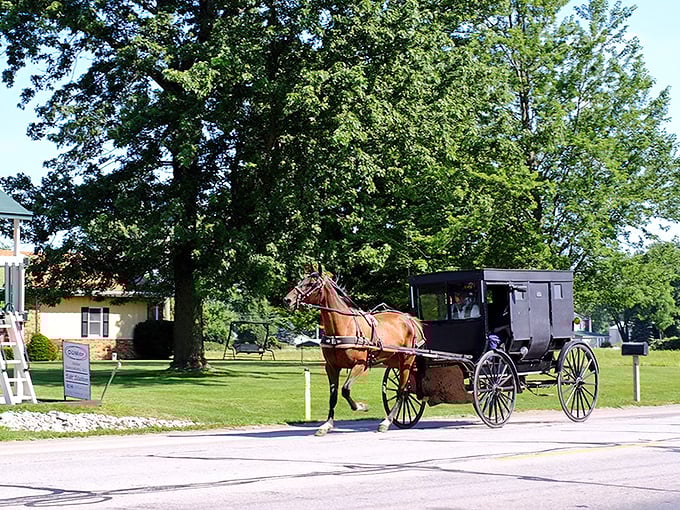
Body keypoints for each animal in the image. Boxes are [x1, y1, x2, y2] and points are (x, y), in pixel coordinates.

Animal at [283, 271, 424, 436]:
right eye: (301, 280)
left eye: (311, 284)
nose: (287, 299)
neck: (343, 327)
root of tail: (408, 318)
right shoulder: (331, 367)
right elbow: (333, 396)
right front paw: (327, 424)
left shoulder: (360, 365)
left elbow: (345, 390)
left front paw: (361, 406)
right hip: (394, 361)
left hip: (406, 360)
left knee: (402, 391)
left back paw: (386, 421)